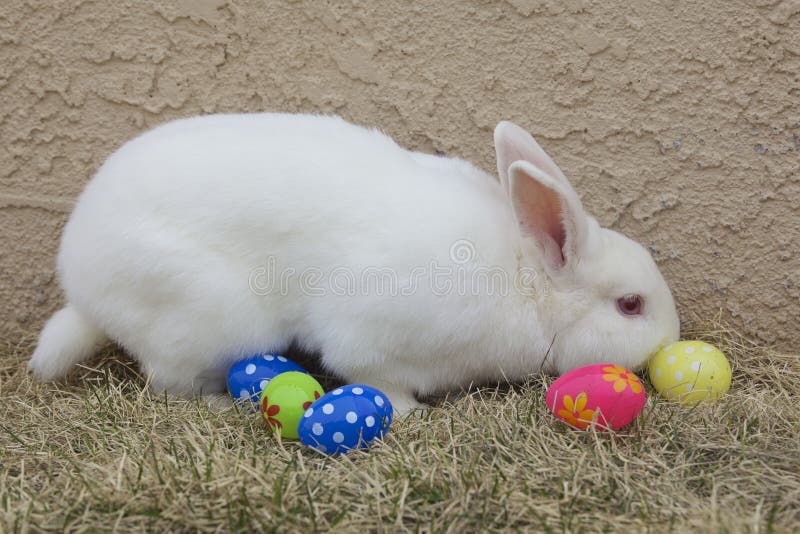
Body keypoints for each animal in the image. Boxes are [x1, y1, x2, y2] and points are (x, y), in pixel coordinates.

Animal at [28, 113, 680, 414]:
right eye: (630, 305)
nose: (669, 341)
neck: (527, 281)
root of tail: (82, 290)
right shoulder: (373, 340)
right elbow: (368, 373)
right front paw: (410, 413)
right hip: (206, 319)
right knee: (167, 382)